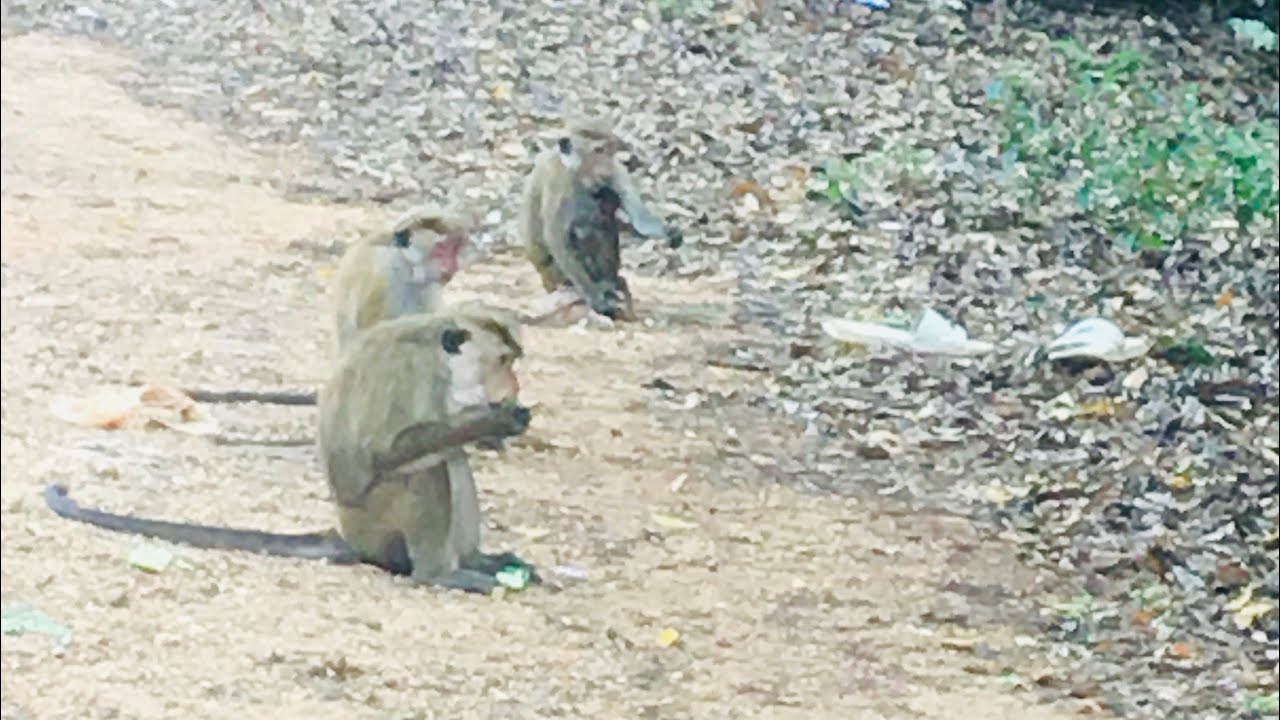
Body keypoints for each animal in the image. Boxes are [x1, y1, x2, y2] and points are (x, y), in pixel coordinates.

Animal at [44, 306, 539, 594]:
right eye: (503, 361)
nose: (513, 385)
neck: (439, 354)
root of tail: (348, 536)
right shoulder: (413, 373)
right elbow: (382, 454)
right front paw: (492, 421)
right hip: (376, 526)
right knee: (426, 471)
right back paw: (440, 573)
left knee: (450, 460)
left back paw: (477, 560)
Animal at [520, 117, 682, 321]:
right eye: (598, 151)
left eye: (609, 151)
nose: (606, 166)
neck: (579, 174)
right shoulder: (558, 184)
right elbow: (556, 238)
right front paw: (595, 298)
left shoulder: (617, 172)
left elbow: (640, 220)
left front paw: (670, 232)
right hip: (554, 274)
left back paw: (613, 281)